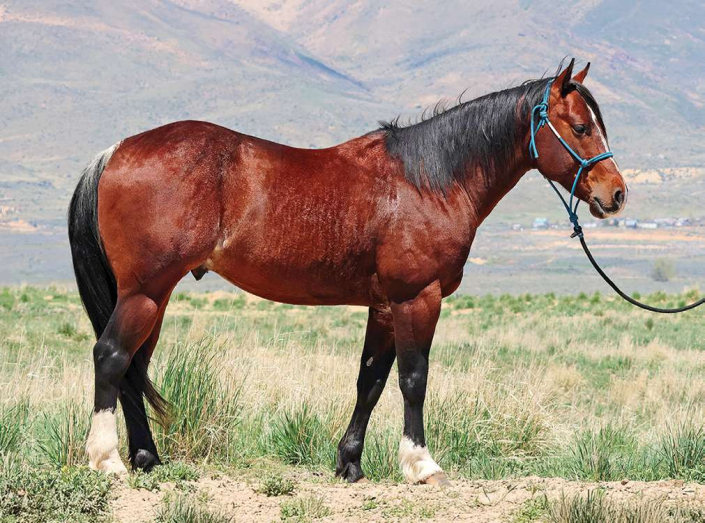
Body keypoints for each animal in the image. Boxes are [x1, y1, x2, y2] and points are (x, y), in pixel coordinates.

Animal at [68, 59, 626, 485]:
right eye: (580, 127)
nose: (616, 194)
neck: (428, 180)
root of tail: (115, 152)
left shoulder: (383, 307)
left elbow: (370, 381)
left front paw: (350, 464)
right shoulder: (417, 298)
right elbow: (413, 379)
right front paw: (421, 465)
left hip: (153, 296)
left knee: (134, 366)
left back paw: (147, 459)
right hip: (144, 292)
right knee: (111, 357)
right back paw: (108, 461)